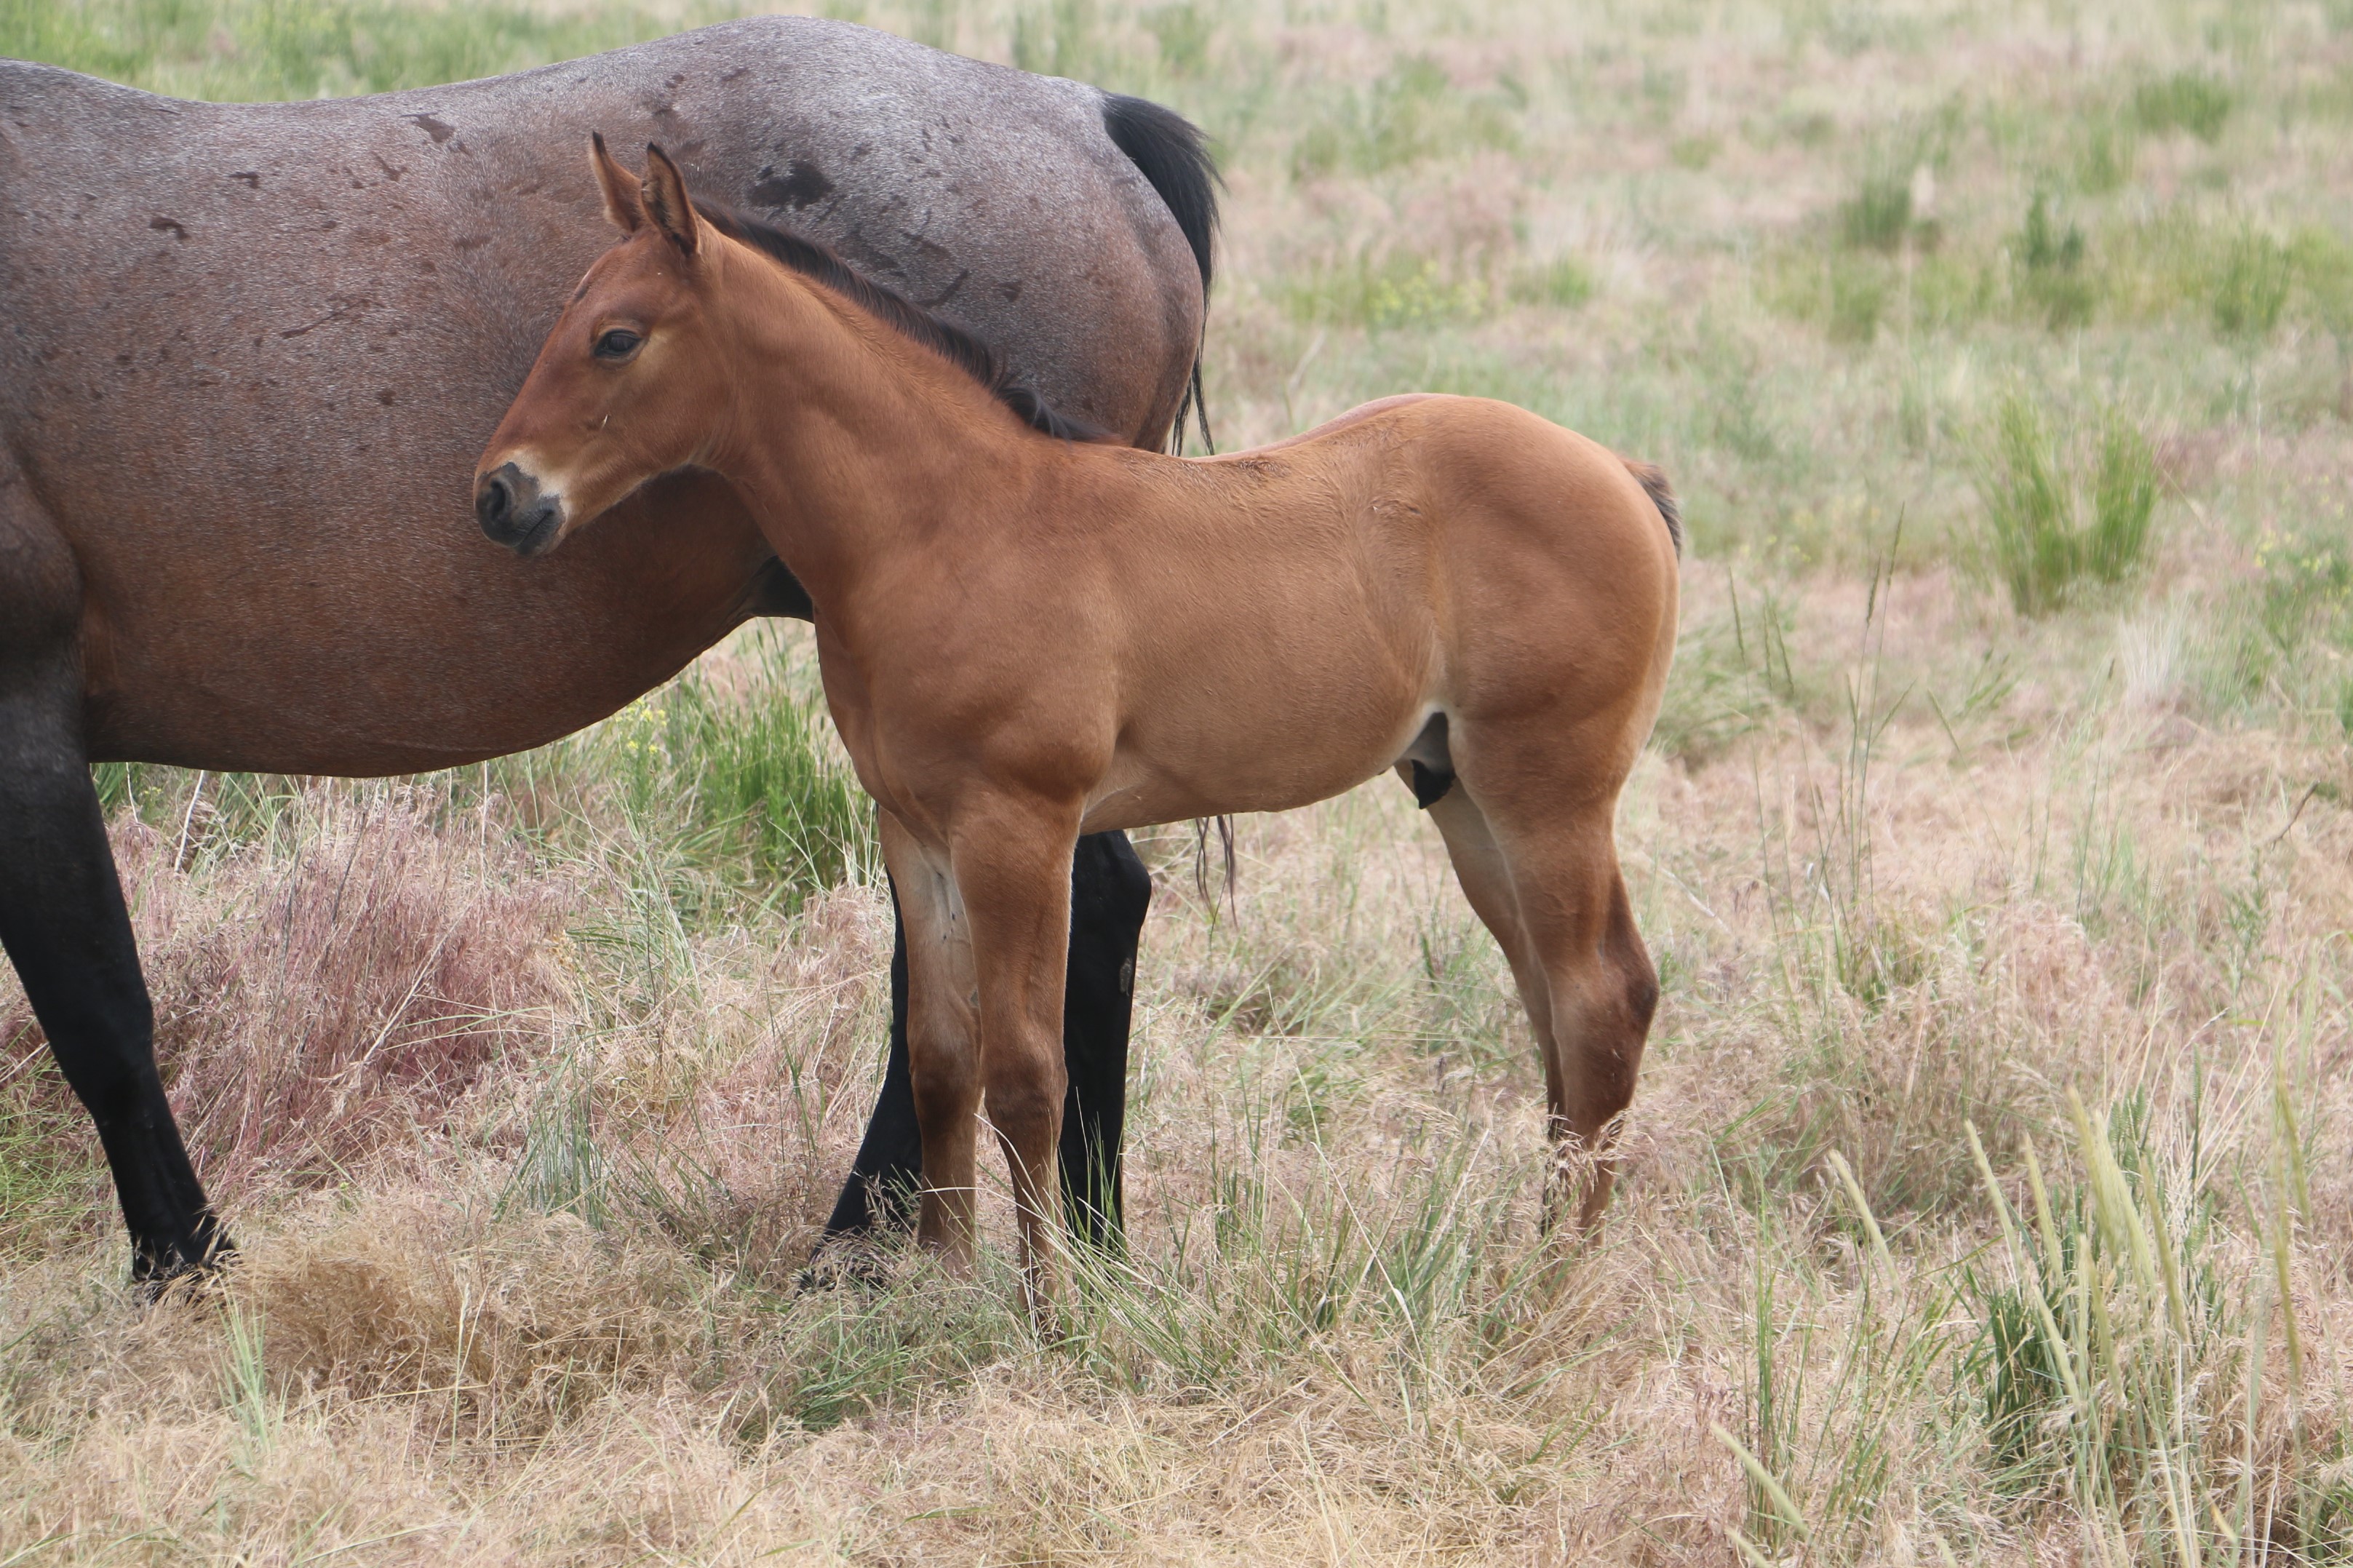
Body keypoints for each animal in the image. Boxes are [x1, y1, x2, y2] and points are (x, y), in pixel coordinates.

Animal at [0, 16, 1215, 1285]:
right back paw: (1054, 1233)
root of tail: (1083, 117)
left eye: (616, 338)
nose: (499, 495)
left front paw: (185, 1267)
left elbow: (99, 1018)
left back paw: (919, 1241)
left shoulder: (24, 724)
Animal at [475, 141, 1682, 1310]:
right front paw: (943, 1286)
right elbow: (940, 1055)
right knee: (1552, 1008)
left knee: (1598, 1000)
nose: (500, 495)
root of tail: (1623, 473)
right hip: (1461, 792)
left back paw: (1557, 1284)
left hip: (1546, 791)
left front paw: (1048, 1309)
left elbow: (1024, 1070)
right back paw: (1531, 1249)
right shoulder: (914, 829)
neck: (952, 528)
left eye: (617, 337)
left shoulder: (1021, 828)